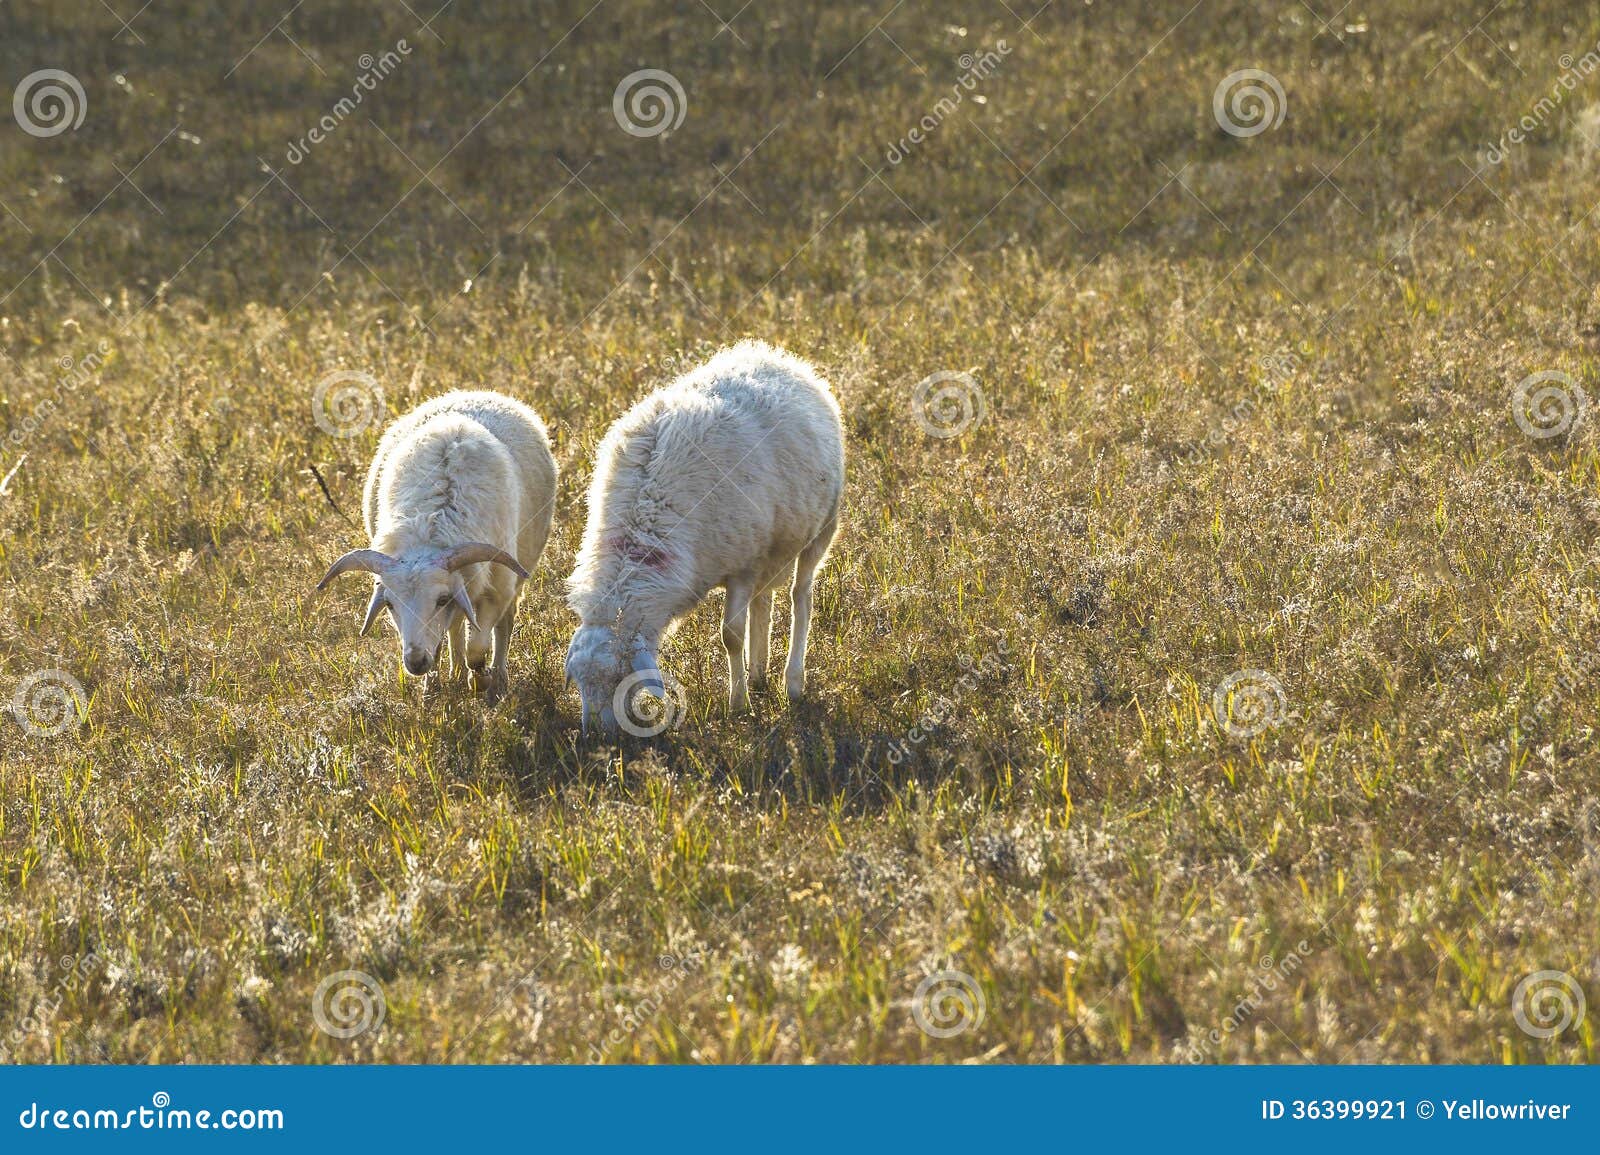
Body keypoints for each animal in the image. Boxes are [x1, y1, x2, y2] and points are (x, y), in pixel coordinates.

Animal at [316, 390, 557, 701]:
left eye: (441, 599)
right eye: (390, 604)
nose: (415, 662)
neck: (430, 528)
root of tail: (473, 393)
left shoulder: (496, 588)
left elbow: (478, 648)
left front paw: (480, 680)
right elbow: (444, 640)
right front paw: (434, 688)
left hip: (519, 569)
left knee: (503, 625)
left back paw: (498, 681)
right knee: (453, 628)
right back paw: (451, 674)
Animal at [565, 340, 844, 733]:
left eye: (620, 679)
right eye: (578, 683)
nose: (597, 737)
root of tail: (773, 357)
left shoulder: (744, 565)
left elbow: (730, 635)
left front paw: (738, 706)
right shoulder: (751, 557)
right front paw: (747, 691)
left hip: (820, 530)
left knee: (800, 597)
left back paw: (792, 682)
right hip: (771, 542)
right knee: (764, 600)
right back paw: (759, 675)